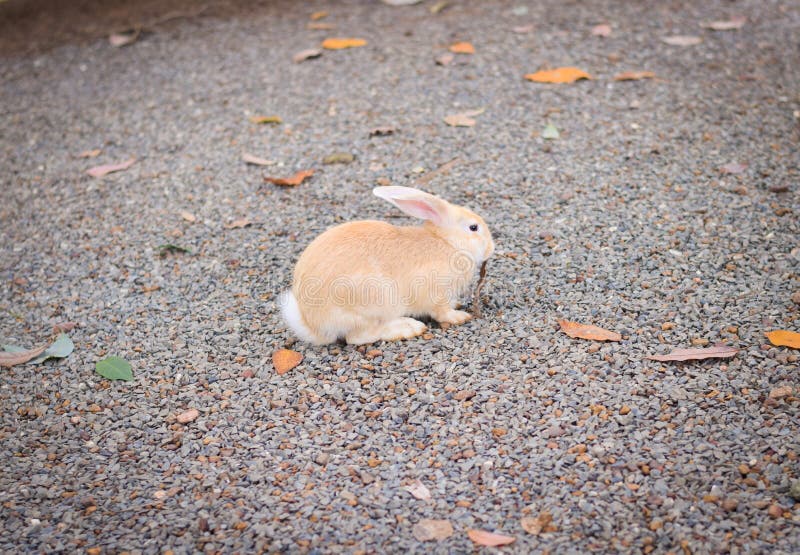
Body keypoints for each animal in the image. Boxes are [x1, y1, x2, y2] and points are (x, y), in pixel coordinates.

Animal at [279, 186, 494, 345]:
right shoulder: (435, 292)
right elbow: (442, 312)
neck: (448, 243)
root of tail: (313, 323)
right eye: (473, 227)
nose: (491, 248)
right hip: (373, 303)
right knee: (358, 337)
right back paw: (407, 328)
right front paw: (459, 316)